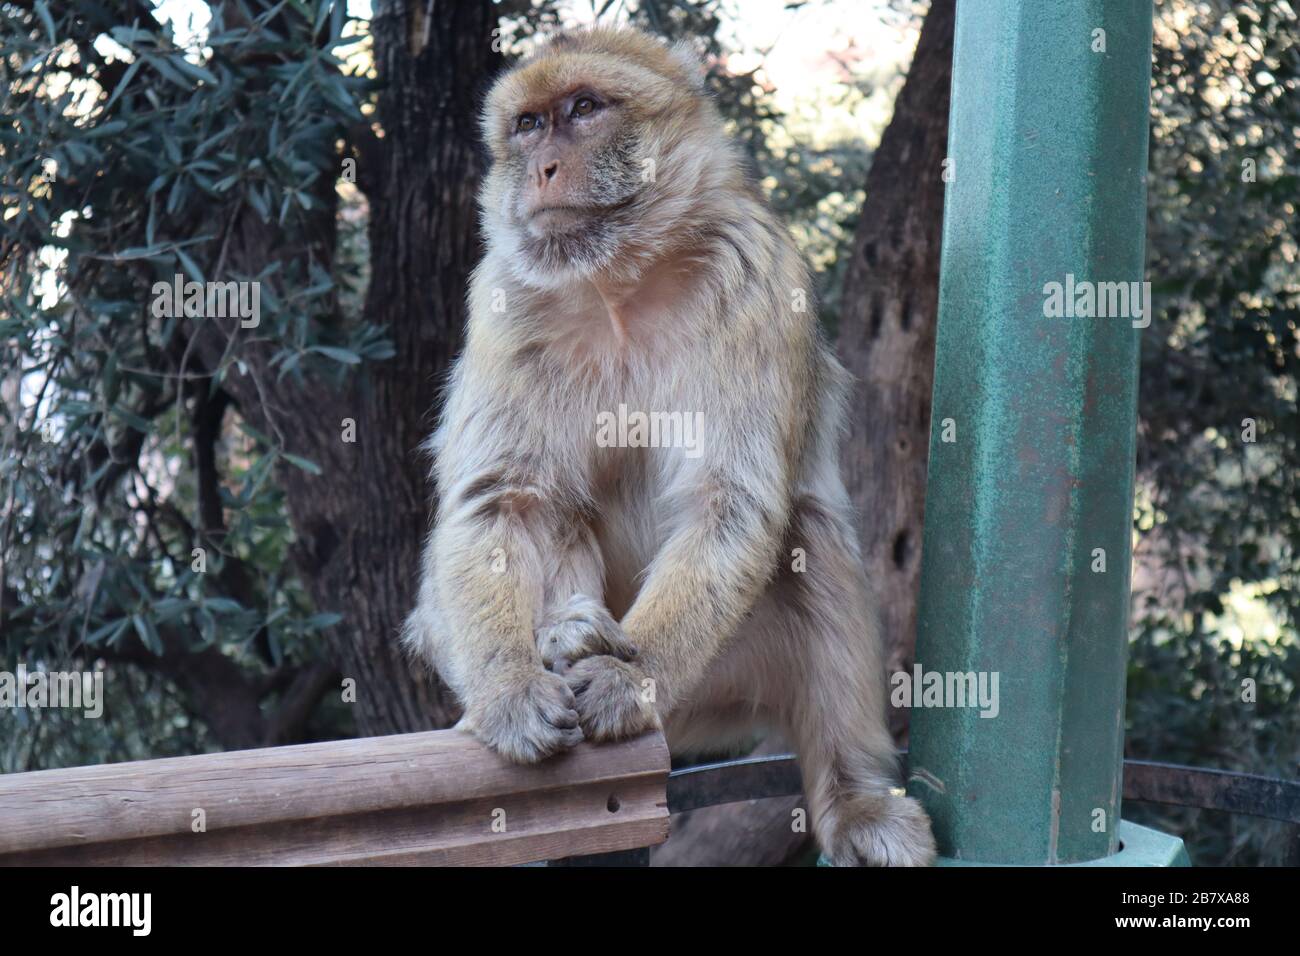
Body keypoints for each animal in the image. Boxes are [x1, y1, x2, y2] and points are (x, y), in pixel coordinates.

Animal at [403, 26, 936, 867]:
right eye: (528, 125)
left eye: (585, 109)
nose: (544, 166)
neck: (621, 280)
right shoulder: (503, 294)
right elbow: (502, 500)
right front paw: (510, 690)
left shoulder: (757, 272)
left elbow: (731, 500)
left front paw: (632, 680)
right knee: (558, 508)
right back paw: (564, 637)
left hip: (720, 679)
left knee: (811, 536)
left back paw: (854, 800)